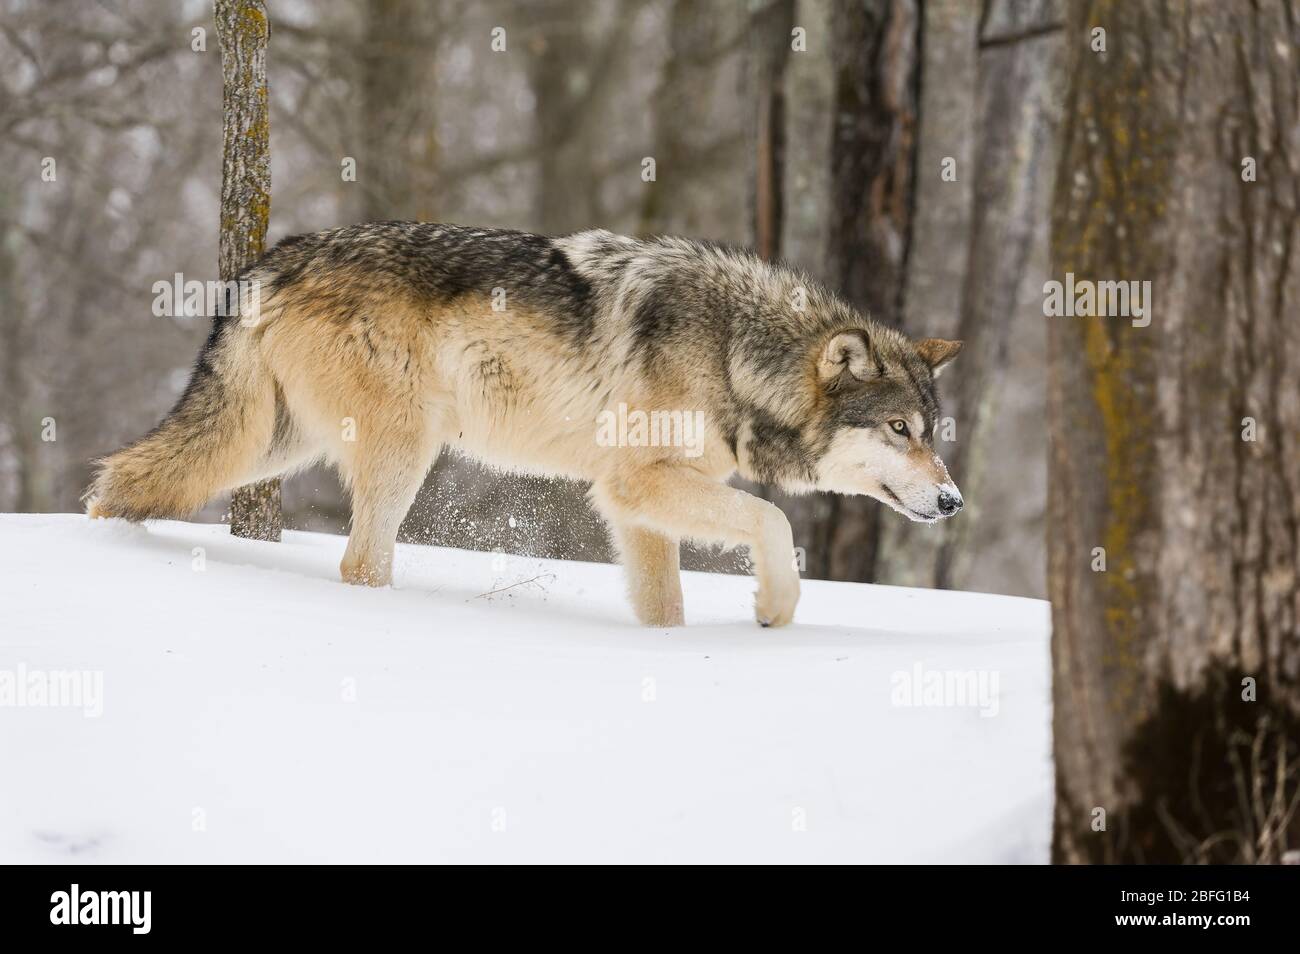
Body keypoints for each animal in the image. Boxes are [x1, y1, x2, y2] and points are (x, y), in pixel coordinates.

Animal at [81, 223, 961, 629]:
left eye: (933, 431)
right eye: (898, 430)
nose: (953, 502)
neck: (736, 350)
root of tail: (277, 255)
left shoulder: (635, 506)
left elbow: (665, 606)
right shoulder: (638, 483)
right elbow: (774, 519)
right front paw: (775, 610)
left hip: (268, 443)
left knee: (132, 473)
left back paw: (101, 536)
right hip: (402, 450)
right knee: (360, 565)